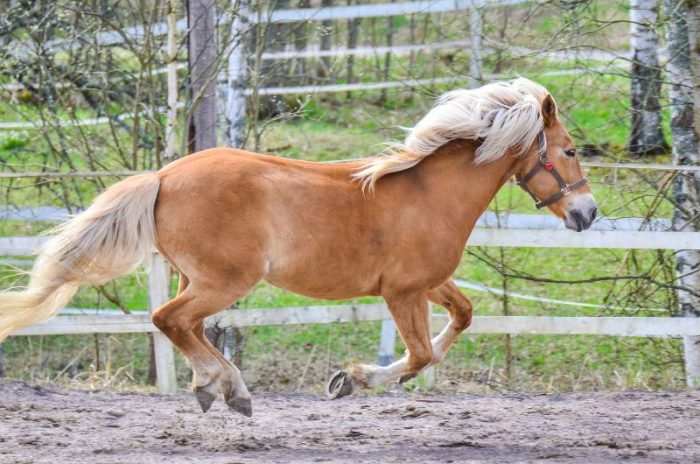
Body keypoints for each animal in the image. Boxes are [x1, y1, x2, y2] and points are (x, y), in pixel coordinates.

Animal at [0, 78, 596, 417]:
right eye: (569, 150)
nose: (588, 214)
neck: (431, 192)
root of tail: (164, 176)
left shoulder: (429, 283)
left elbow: (463, 317)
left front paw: (359, 379)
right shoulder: (402, 292)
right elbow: (423, 353)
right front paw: (352, 381)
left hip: (199, 278)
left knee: (185, 326)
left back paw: (212, 386)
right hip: (225, 280)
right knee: (168, 319)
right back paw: (231, 389)